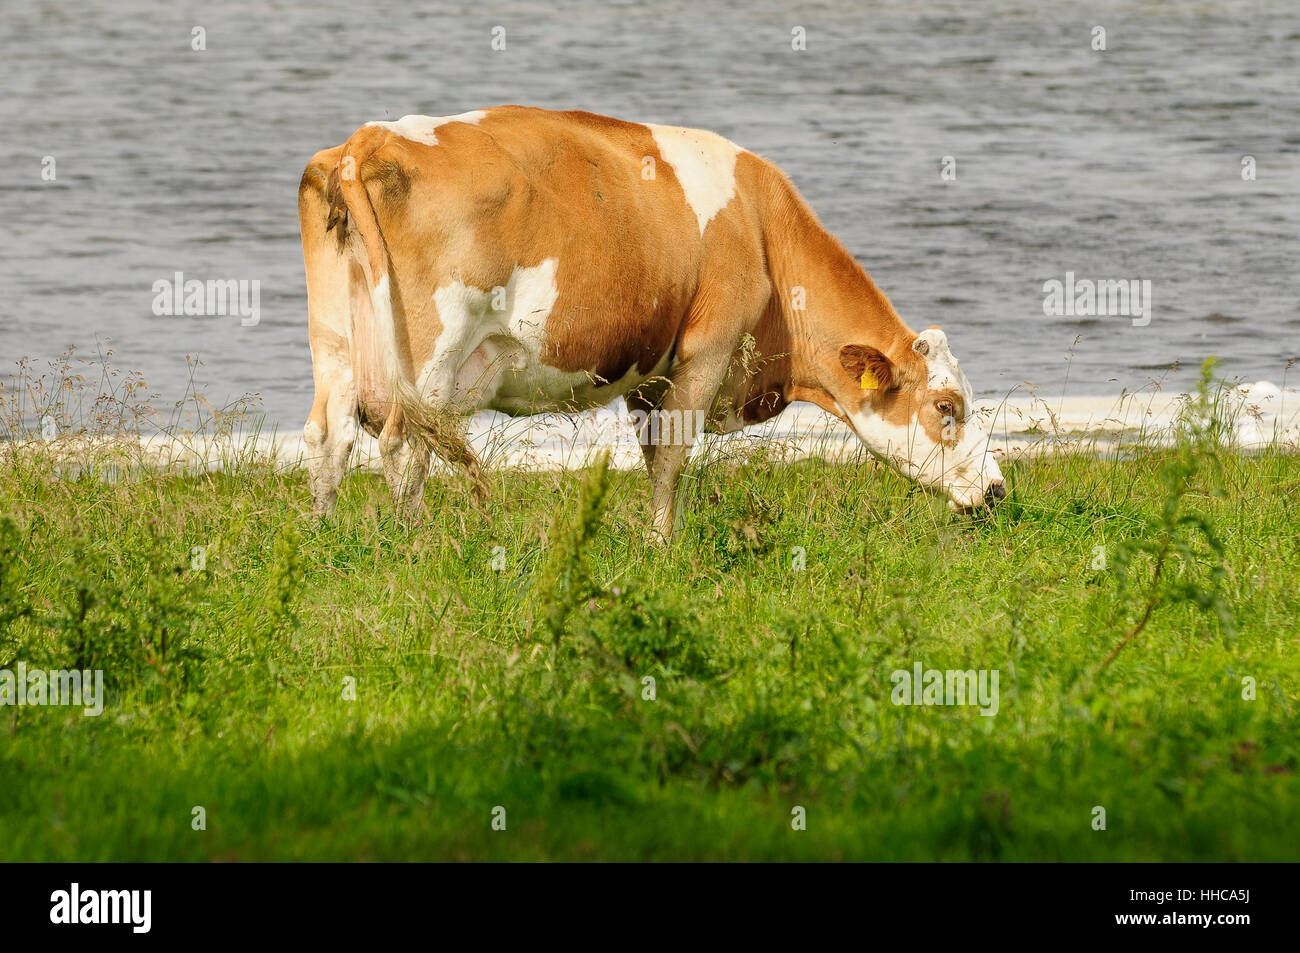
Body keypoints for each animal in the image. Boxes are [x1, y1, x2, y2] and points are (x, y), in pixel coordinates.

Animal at [297, 106, 1005, 536]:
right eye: (946, 406)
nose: (998, 490)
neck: (763, 231)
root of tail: (369, 140)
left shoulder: (650, 374)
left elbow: (650, 453)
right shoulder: (706, 351)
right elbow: (672, 457)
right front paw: (660, 547)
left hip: (336, 340)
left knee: (330, 435)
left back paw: (324, 544)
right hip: (432, 359)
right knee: (400, 442)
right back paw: (417, 548)